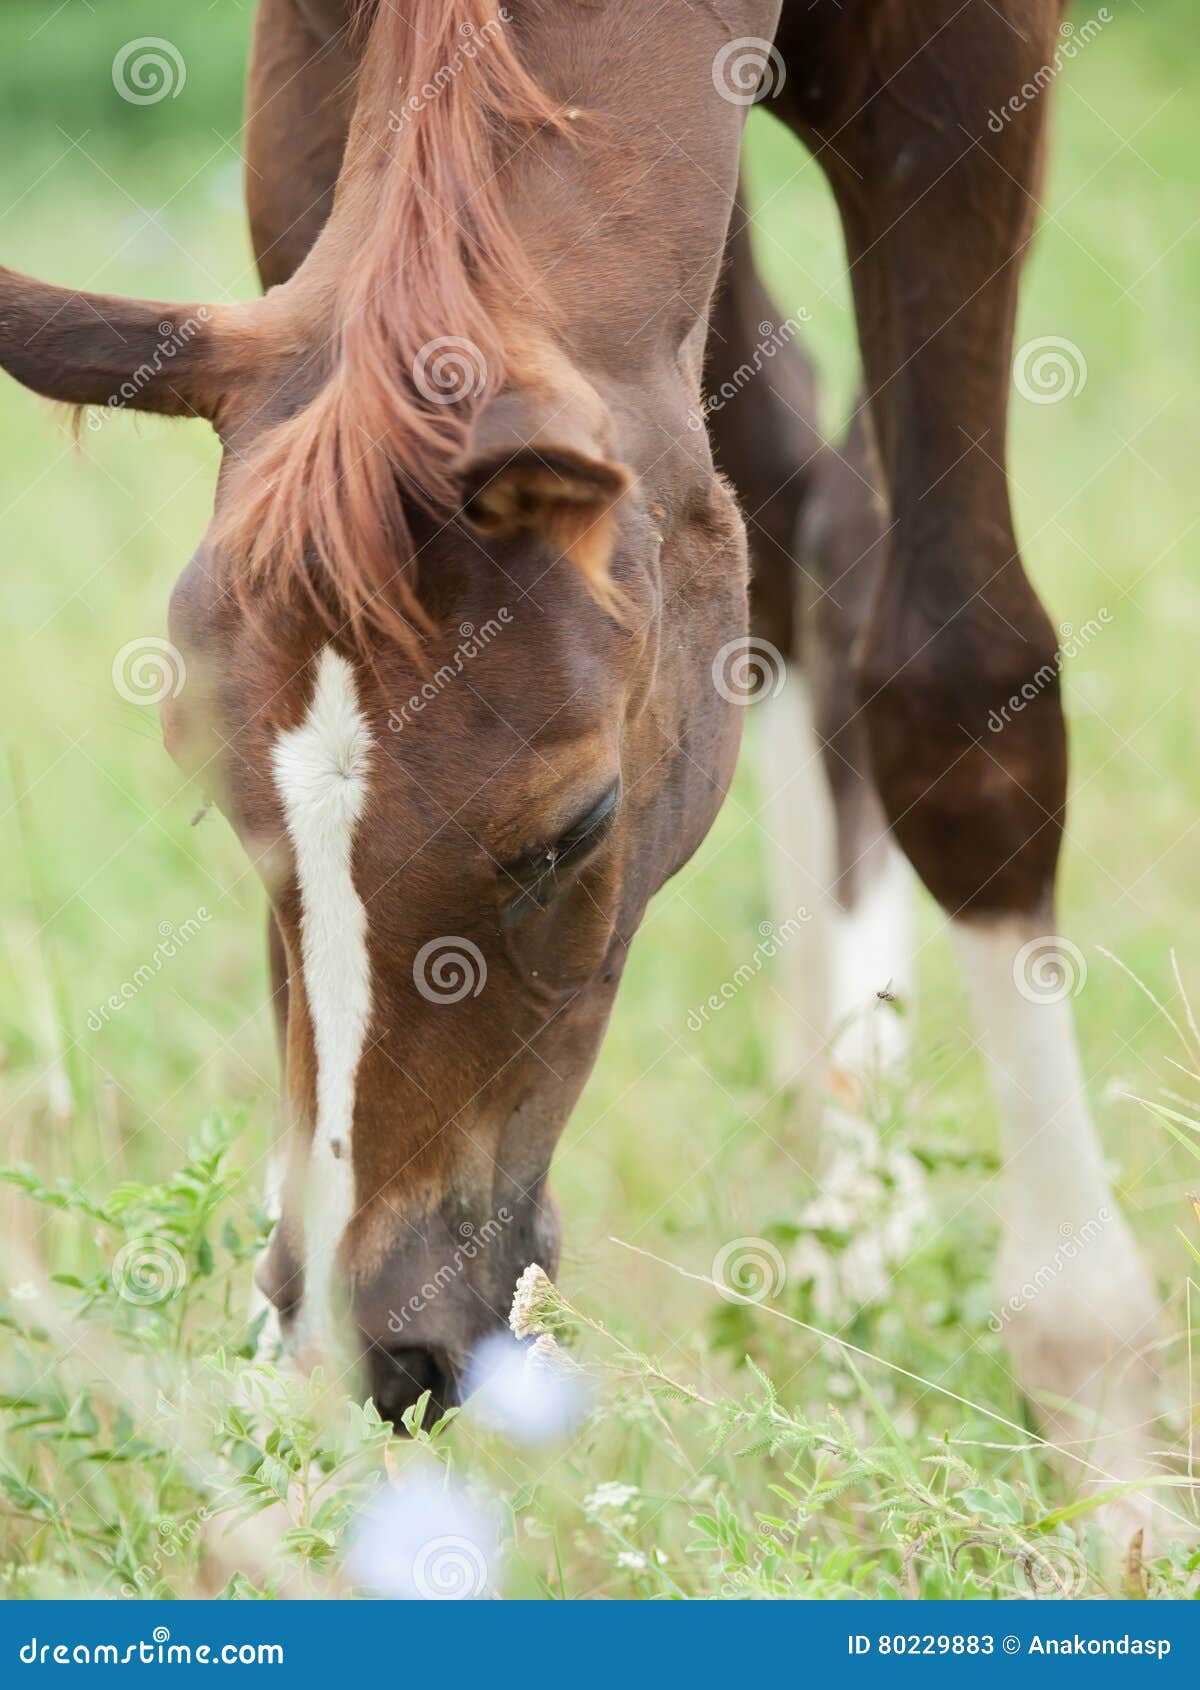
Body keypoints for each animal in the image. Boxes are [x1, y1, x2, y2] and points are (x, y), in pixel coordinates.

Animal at [0, 0, 1167, 1532]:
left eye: (575, 827)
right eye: (225, 812)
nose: (384, 1340)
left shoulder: (959, 82)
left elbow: (959, 692)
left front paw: (1107, 1432)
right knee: (784, 499)